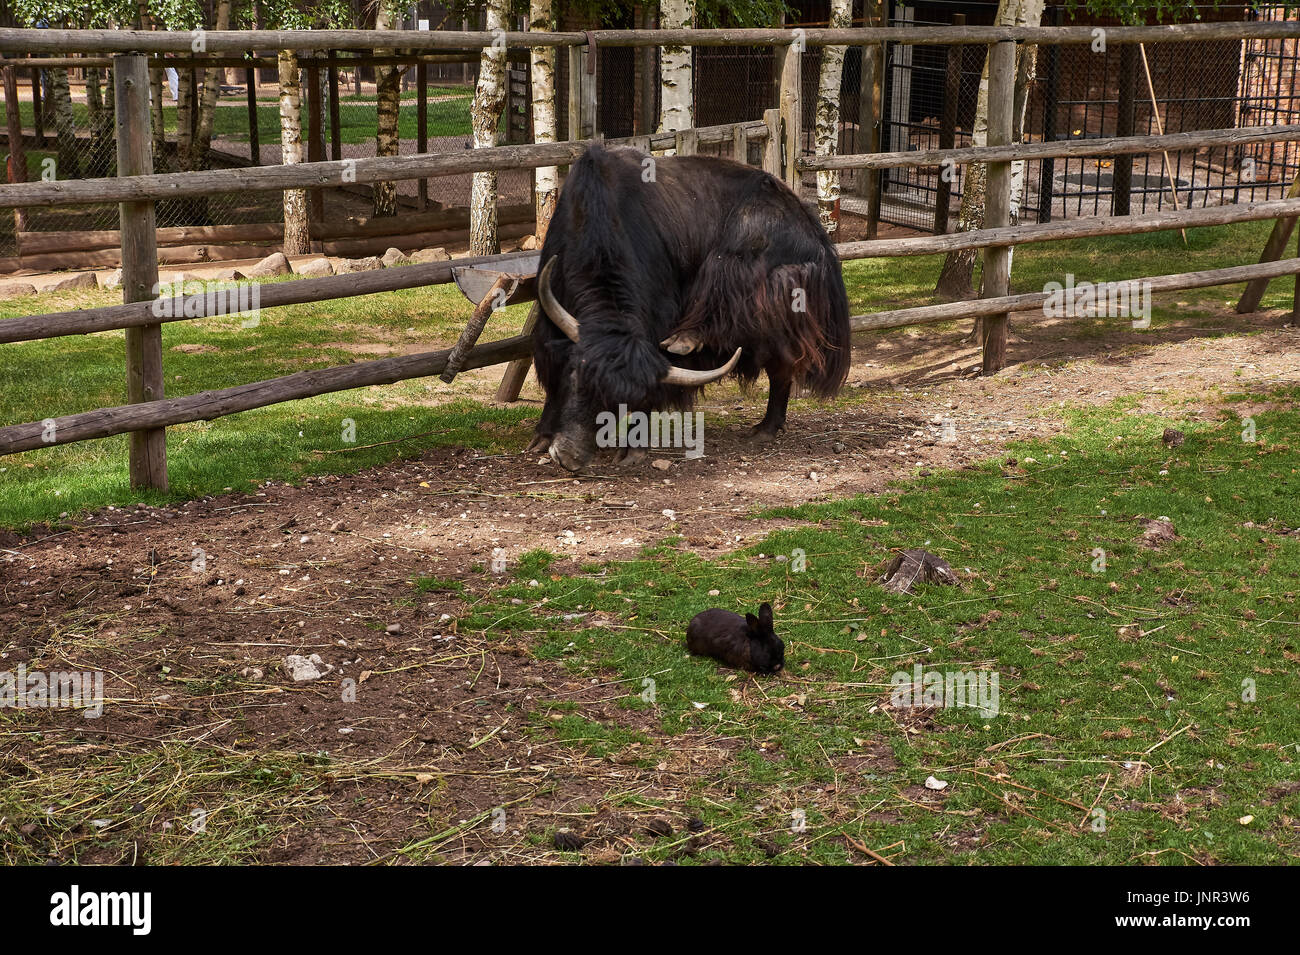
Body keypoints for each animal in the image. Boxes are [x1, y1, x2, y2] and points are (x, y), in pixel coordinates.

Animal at [530, 143, 851, 472]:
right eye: (576, 377)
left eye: (623, 403)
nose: (569, 458)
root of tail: (820, 241)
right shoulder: (551, 316)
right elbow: (552, 372)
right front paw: (542, 436)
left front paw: (634, 449)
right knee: (781, 366)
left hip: (759, 266)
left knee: (774, 359)